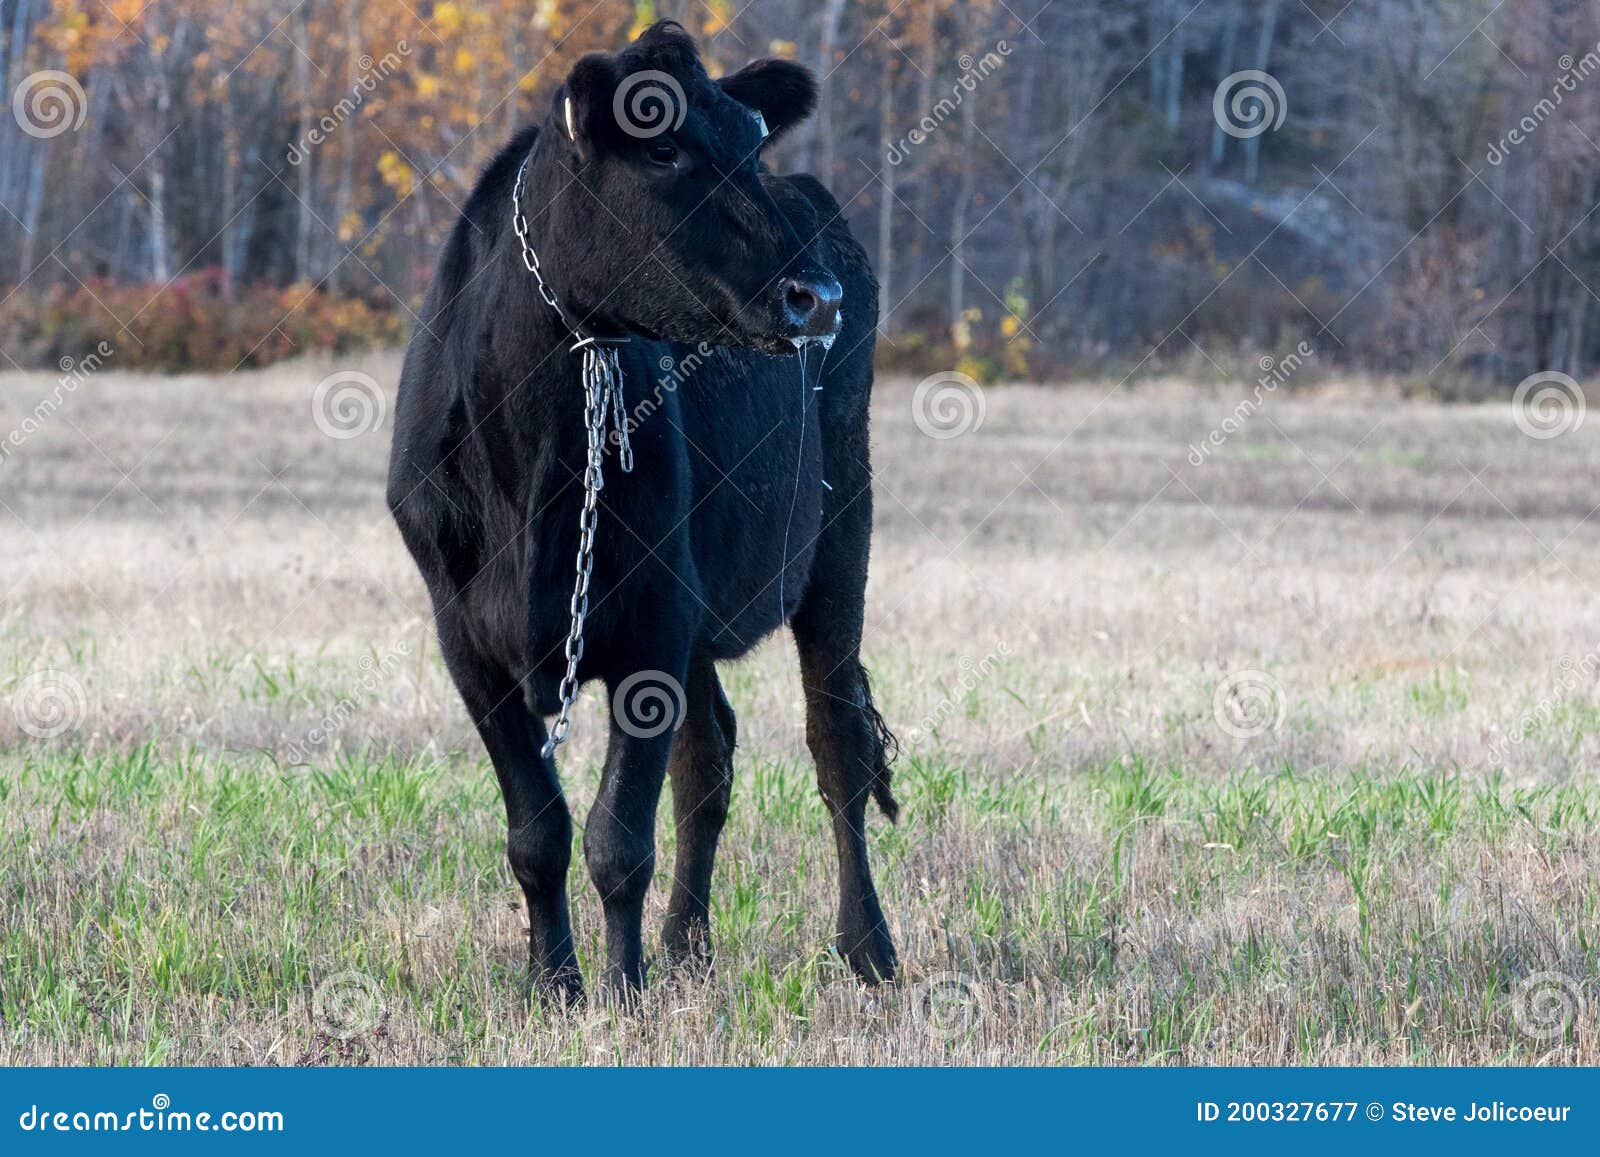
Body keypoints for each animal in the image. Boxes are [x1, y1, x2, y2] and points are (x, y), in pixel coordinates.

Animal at [386, 21, 899, 1000]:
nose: (814, 295)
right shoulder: (465, 635)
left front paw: (622, 993)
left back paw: (869, 950)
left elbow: (619, 835)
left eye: (751, 139)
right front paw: (555, 984)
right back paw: (688, 946)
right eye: (663, 148)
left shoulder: (655, 622)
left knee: (837, 745)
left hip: (840, 531)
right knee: (712, 757)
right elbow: (539, 832)